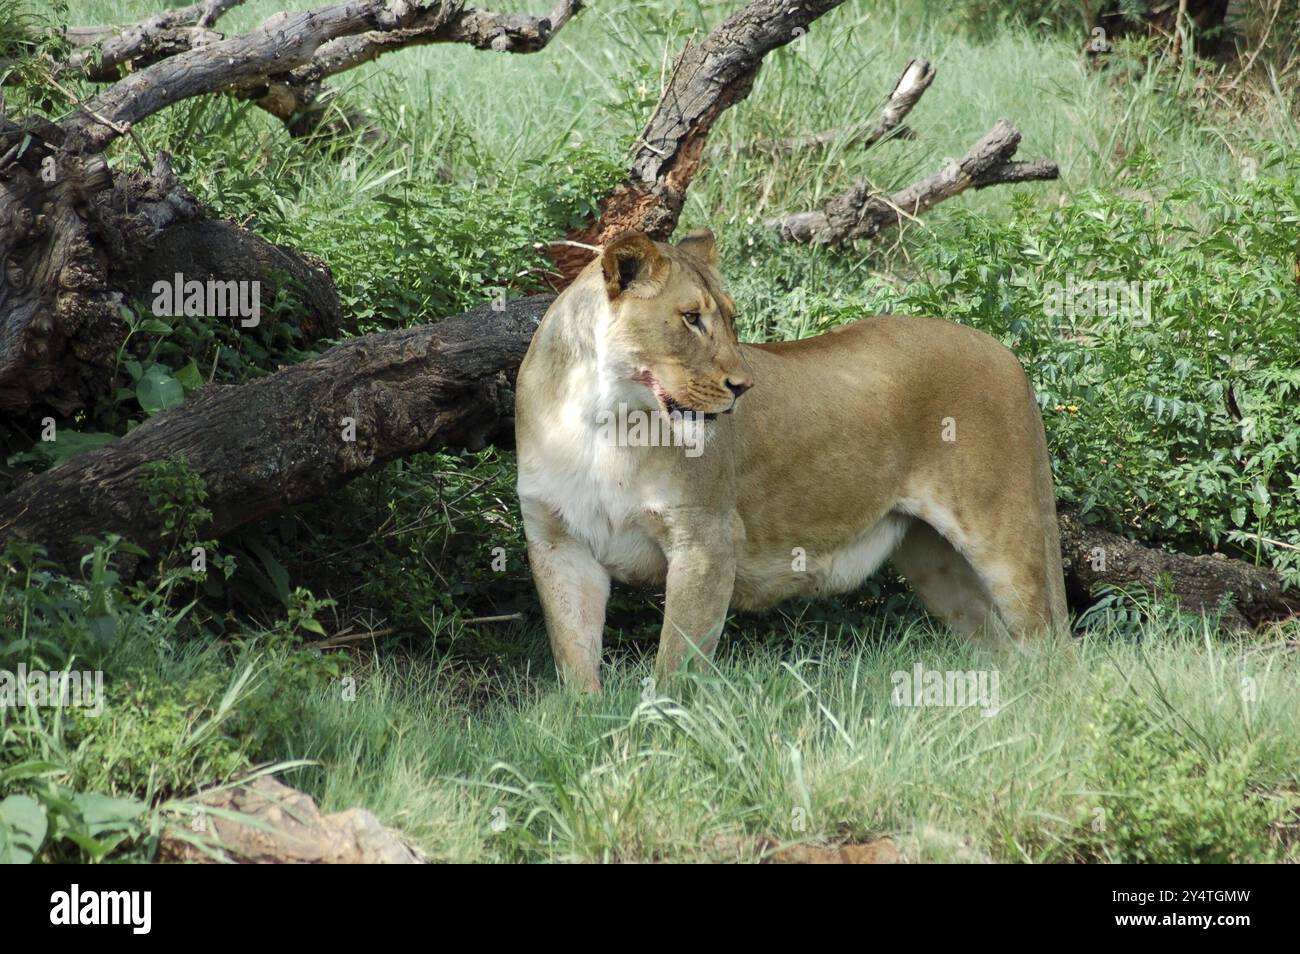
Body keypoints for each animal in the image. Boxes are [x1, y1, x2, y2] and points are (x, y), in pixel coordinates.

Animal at [515, 229, 1068, 691]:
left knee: (1048, 647)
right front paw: (591, 729)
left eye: (731, 319)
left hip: (1003, 534)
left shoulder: (706, 539)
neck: (603, 421)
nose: (743, 386)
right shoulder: (559, 543)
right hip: (933, 558)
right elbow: (574, 658)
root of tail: (1006, 353)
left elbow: (677, 664)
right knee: (1002, 647)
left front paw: (659, 731)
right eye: (691, 319)